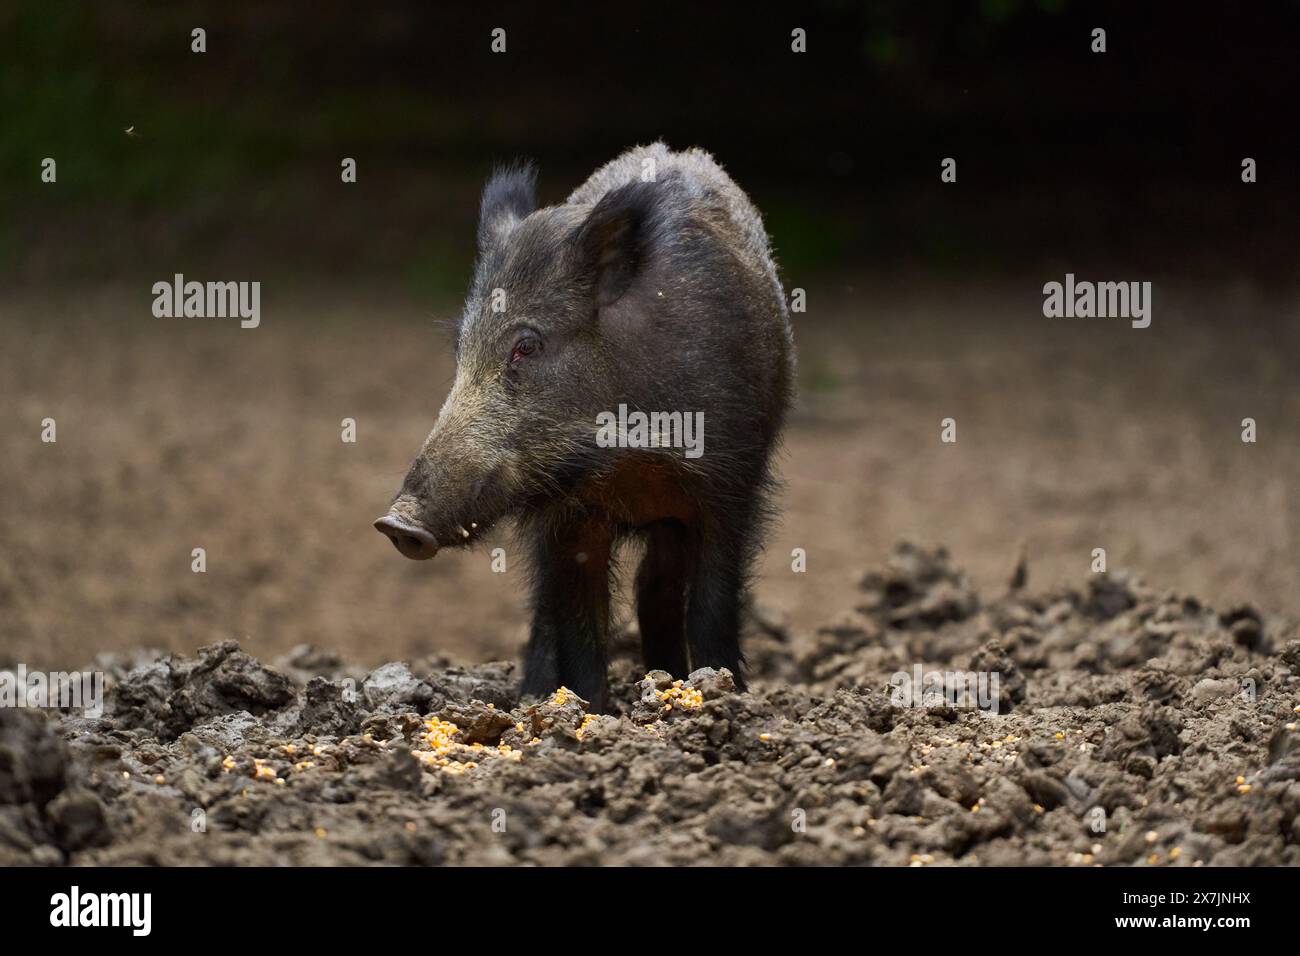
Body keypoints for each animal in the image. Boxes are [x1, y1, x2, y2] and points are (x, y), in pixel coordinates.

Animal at [375, 143, 795, 710]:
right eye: (460, 348)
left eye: (526, 346)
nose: (398, 524)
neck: (628, 457)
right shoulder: (568, 515)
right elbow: (577, 619)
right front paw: (587, 711)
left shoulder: (732, 482)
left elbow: (712, 603)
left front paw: (724, 693)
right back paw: (535, 694)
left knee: (655, 587)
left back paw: (668, 679)